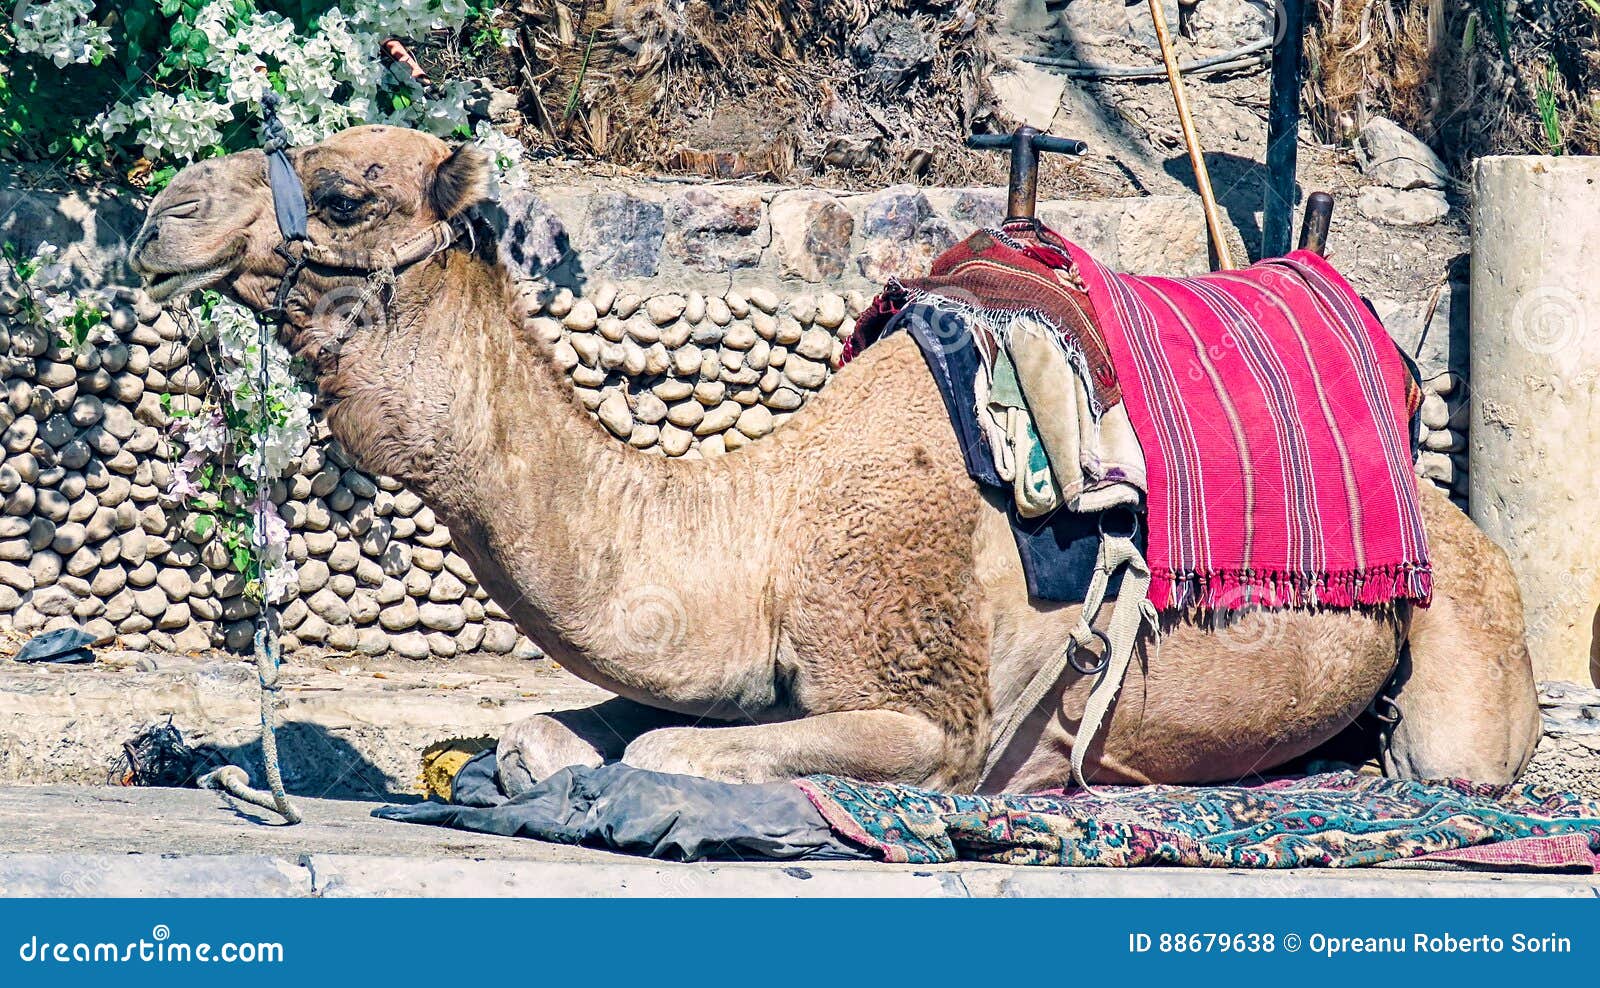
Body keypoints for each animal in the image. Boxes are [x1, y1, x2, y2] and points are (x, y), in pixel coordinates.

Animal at [129, 126, 1541, 795]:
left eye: (348, 191)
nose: (160, 214)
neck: (764, 517)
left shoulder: (932, 720)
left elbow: (663, 758)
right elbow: (544, 736)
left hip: (1466, 609)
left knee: (1450, 758)